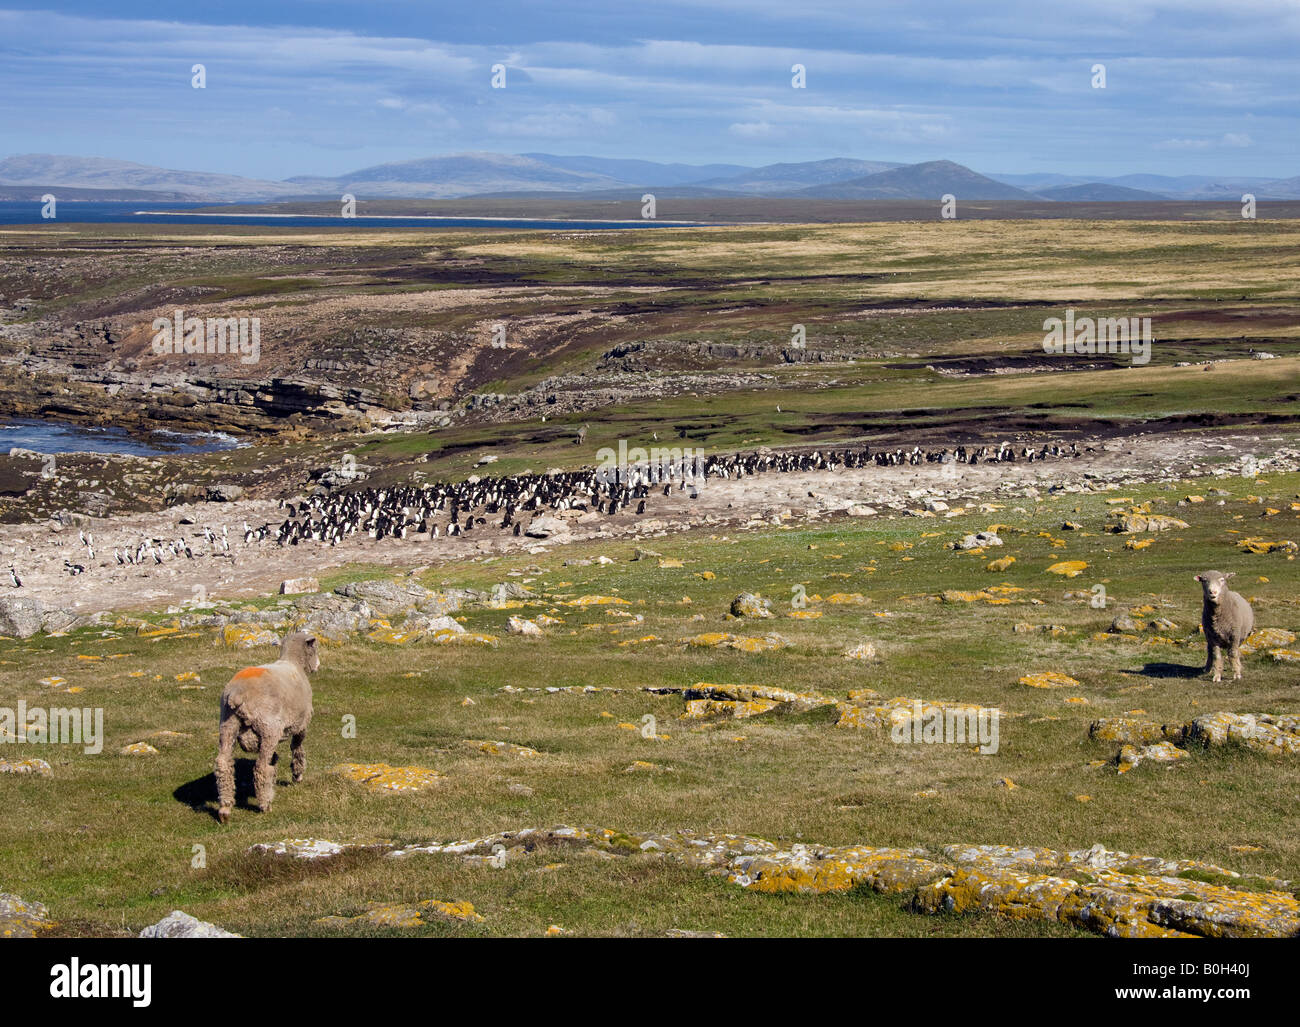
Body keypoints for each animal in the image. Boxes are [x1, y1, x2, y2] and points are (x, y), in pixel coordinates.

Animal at [215, 631, 319, 823]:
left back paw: (225, 808)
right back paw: (265, 804)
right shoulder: (301, 724)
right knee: (261, 767)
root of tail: (237, 694)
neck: (293, 662)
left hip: (227, 724)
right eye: (314, 648)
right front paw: (297, 775)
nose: (317, 666)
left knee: (223, 763)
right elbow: (297, 749)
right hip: (268, 728)